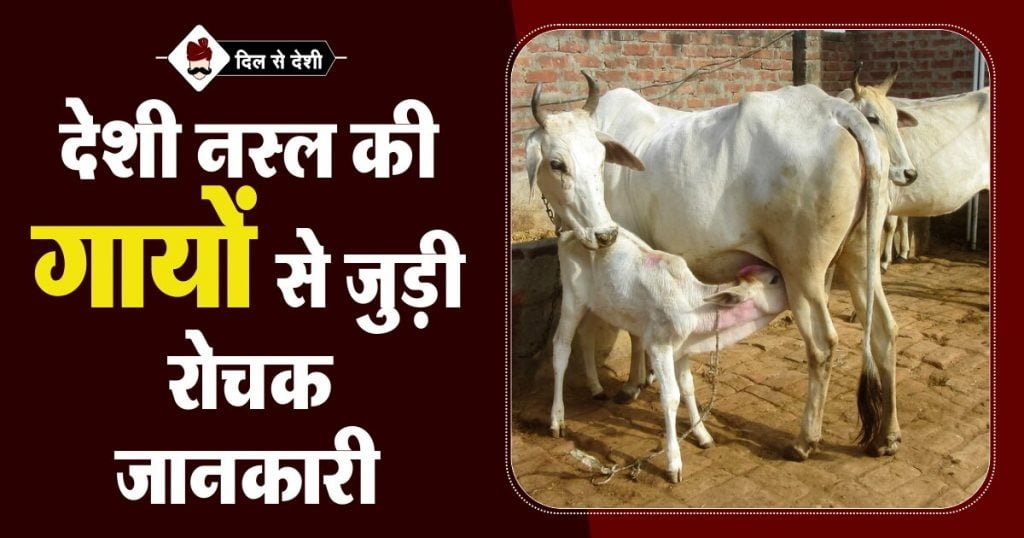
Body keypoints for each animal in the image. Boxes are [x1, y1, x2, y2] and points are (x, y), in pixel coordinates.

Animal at [591, 71, 917, 461]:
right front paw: (644, 379)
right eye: (876, 117)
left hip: (802, 268)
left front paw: (631, 385)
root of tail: (836, 110)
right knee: (884, 330)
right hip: (859, 258)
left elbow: (634, 329)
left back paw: (805, 440)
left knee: (822, 343)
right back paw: (888, 436)